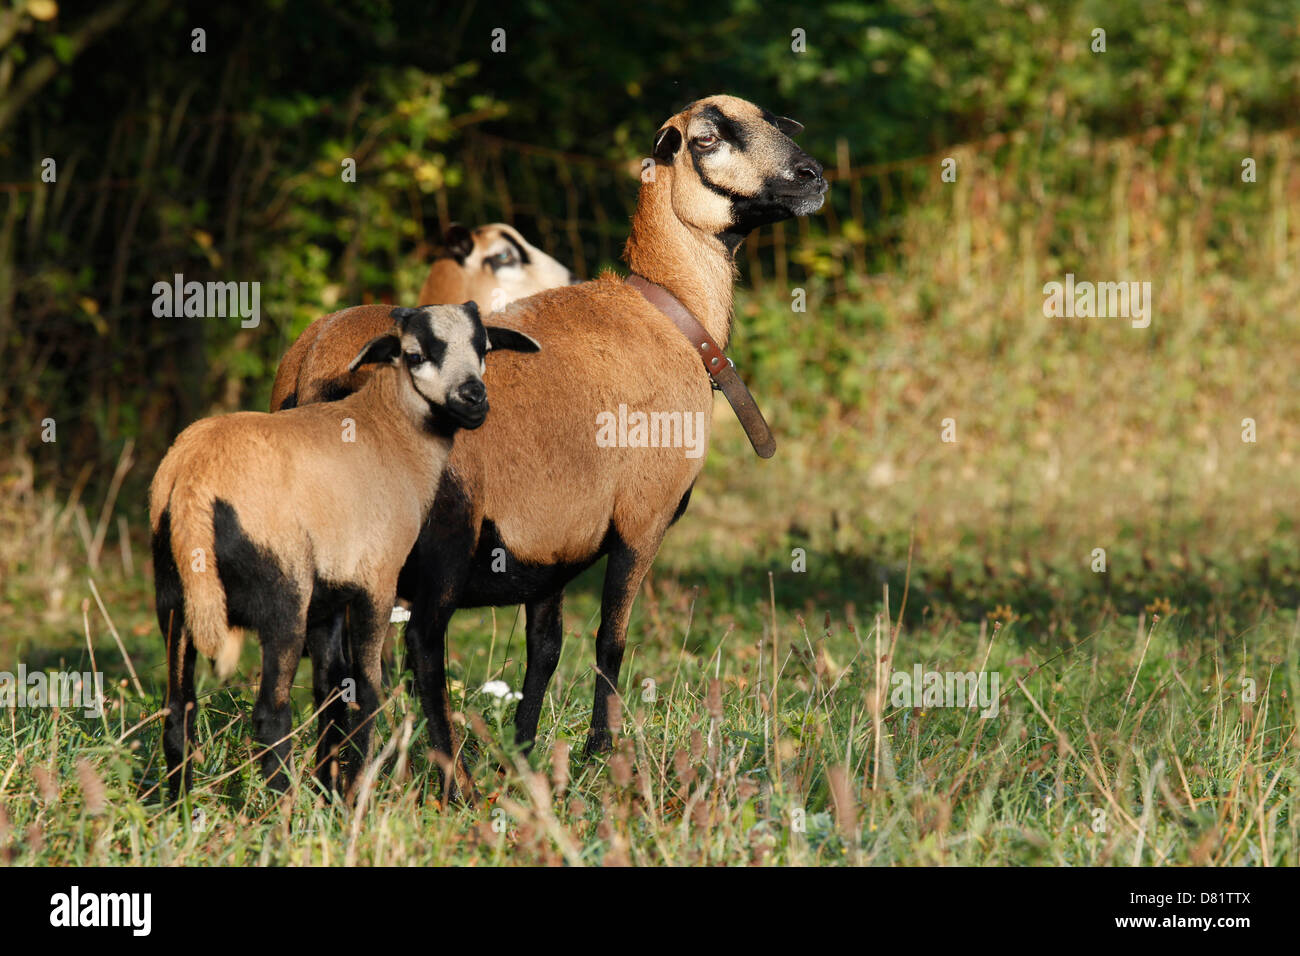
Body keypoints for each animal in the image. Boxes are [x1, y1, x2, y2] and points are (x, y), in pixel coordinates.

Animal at [149, 303, 540, 798]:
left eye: (483, 347)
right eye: (415, 355)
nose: (473, 398)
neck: (391, 430)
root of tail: (195, 484)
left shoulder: (329, 601)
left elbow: (331, 687)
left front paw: (332, 787)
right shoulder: (376, 582)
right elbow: (367, 691)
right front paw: (356, 794)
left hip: (174, 597)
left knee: (178, 711)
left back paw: (179, 806)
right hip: (283, 594)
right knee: (270, 714)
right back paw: (282, 808)